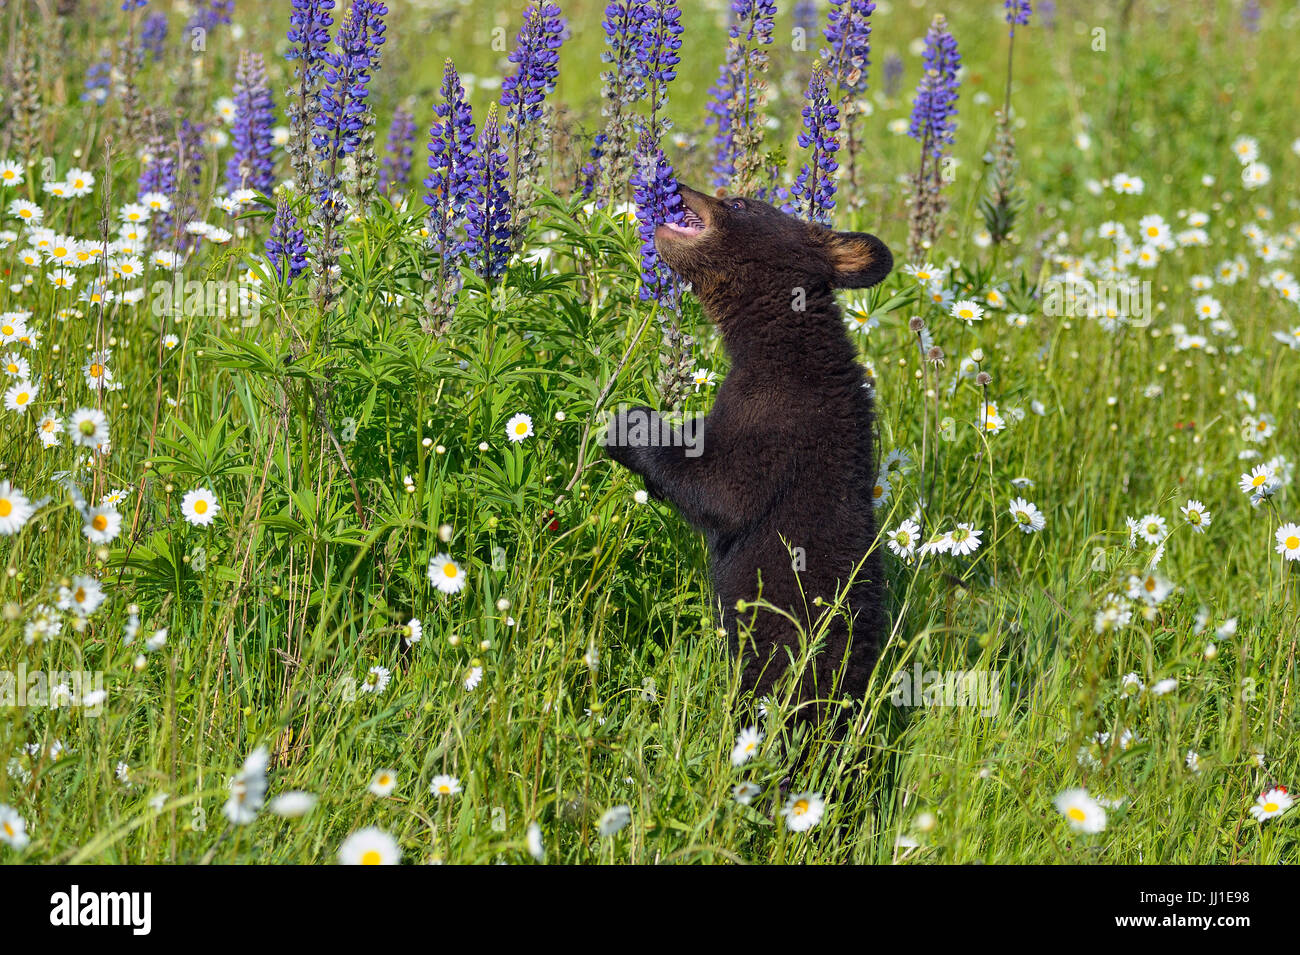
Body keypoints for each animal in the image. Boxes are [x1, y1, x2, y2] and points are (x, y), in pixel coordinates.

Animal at [604, 183, 893, 727]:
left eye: (737, 204)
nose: (677, 188)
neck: (782, 340)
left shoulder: (781, 415)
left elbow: (725, 491)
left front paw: (628, 424)